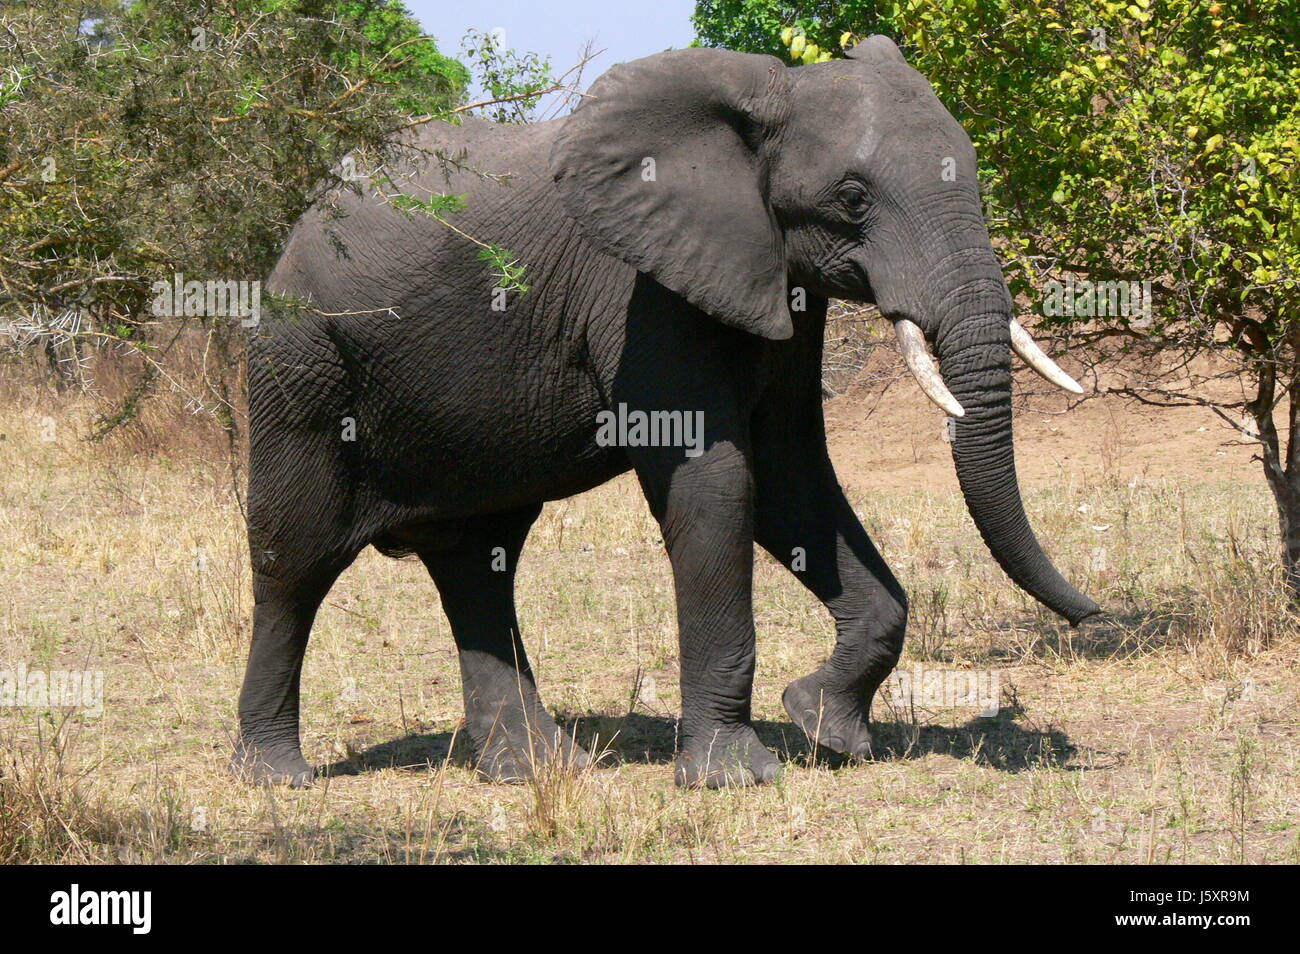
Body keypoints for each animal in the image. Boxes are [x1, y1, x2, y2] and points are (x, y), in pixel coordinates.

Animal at [233, 36, 1100, 790]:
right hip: (300, 361)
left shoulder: (778, 279)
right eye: (853, 200)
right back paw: (278, 777)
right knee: (296, 560)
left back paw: (540, 771)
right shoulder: (638, 288)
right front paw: (734, 778)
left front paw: (826, 729)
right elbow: (719, 485)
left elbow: (795, 479)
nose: (1092, 615)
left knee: (479, 559)